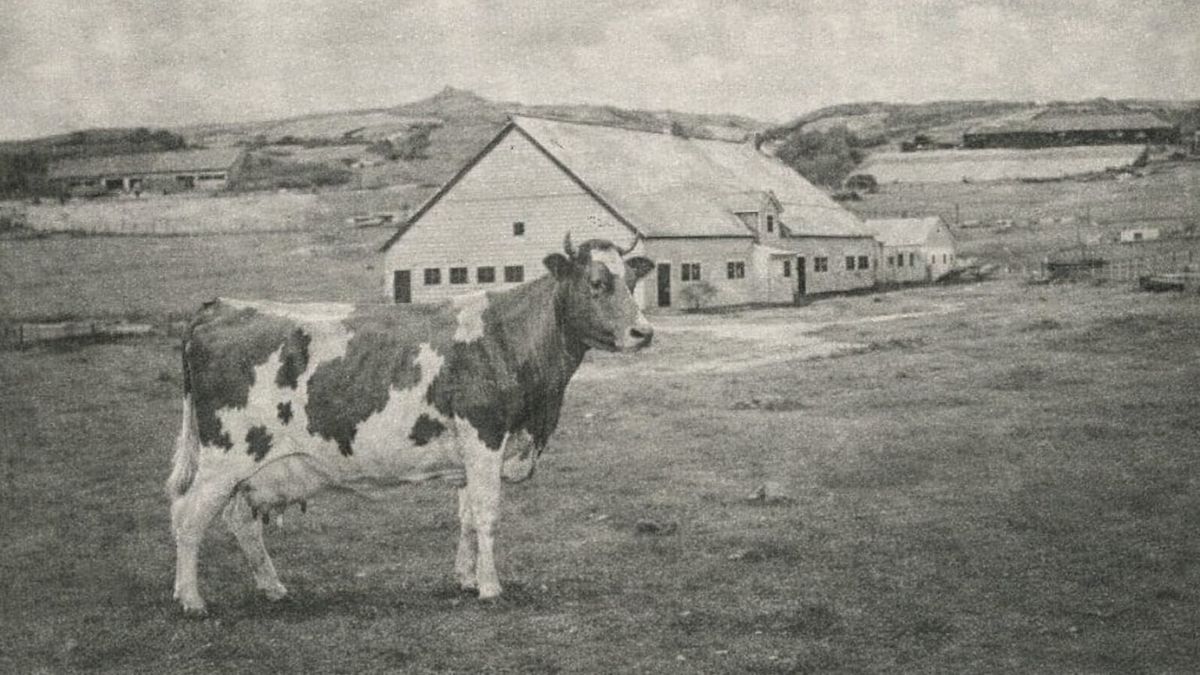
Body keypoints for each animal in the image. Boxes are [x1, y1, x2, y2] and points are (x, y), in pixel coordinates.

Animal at [166, 236, 654, 615]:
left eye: (632, 283)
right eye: (596, 283)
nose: (643, 333)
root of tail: (219, 306)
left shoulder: (470, 451)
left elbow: (466, 517)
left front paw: (465, 579)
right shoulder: (483, 435)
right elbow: (487, 513)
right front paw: (490, 587)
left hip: (257, 467)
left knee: (240, 520)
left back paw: (272, 588)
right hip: (225, 454)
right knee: (188, 514)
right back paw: (191, 599)